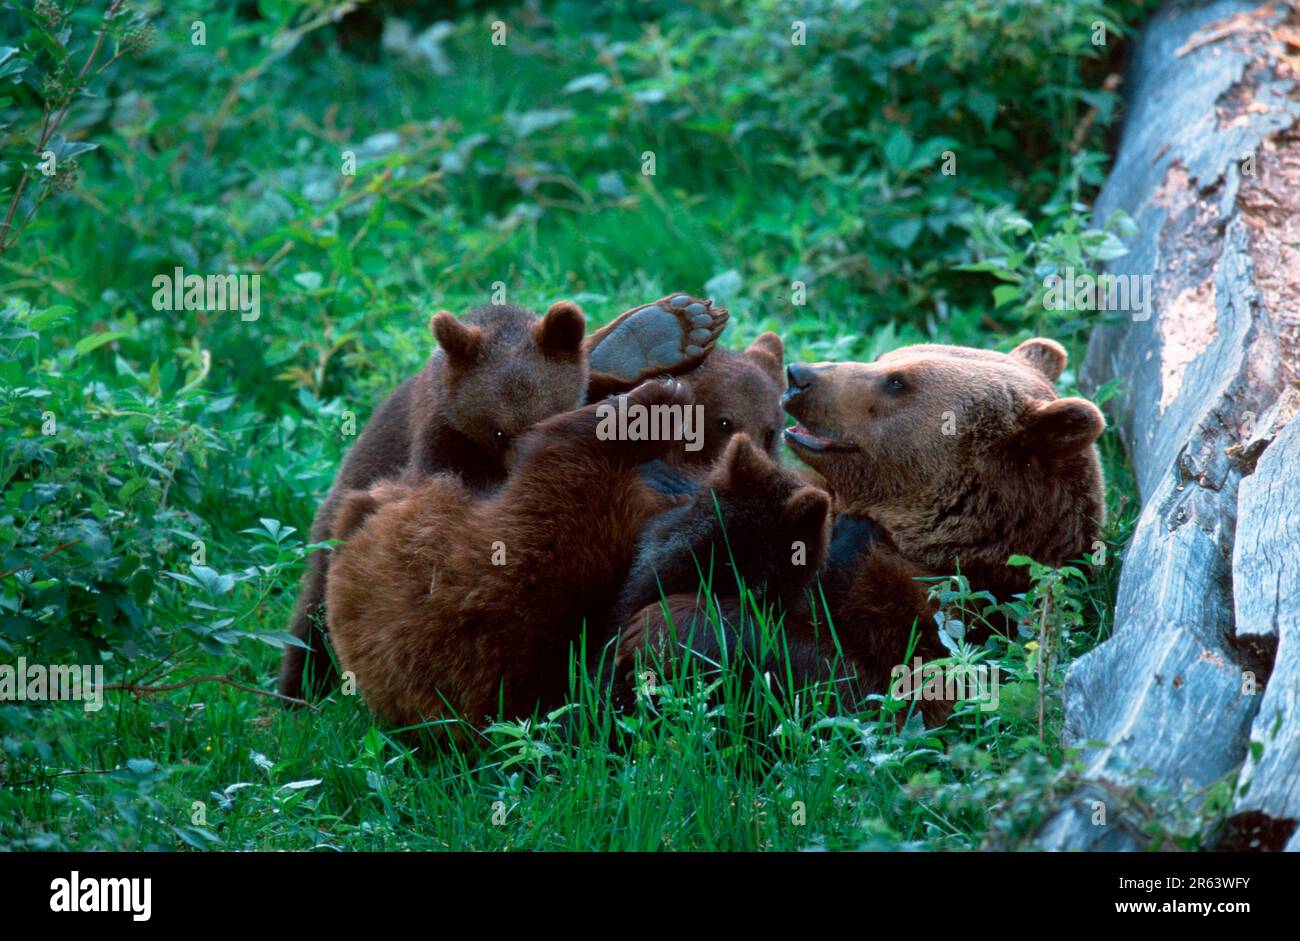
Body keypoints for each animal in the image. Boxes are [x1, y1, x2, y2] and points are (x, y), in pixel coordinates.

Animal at [614, 337, 1105, 723]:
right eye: (885, 358)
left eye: (897, 383)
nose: (800, 375)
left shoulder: (952, 615)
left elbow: (873, 691)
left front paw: (664, 628)